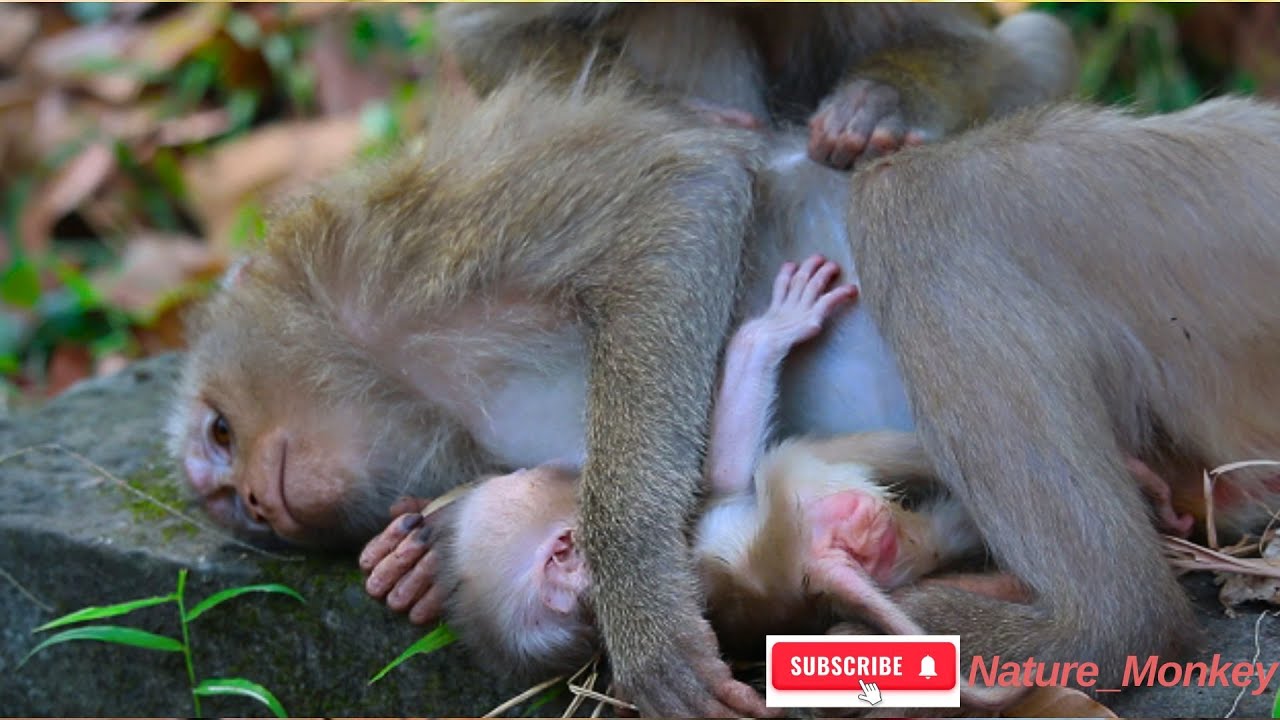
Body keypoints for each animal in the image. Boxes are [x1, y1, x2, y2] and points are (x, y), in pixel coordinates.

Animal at [170, 75, 1280, 714]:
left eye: (220, 434)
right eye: (235, 510)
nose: (253, 502)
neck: (401, 376)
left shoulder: (408, 239)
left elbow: (685, 194)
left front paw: (640, 607)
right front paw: (406, 561)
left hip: (1192, 209)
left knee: (918, 208)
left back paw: (1095, 626)